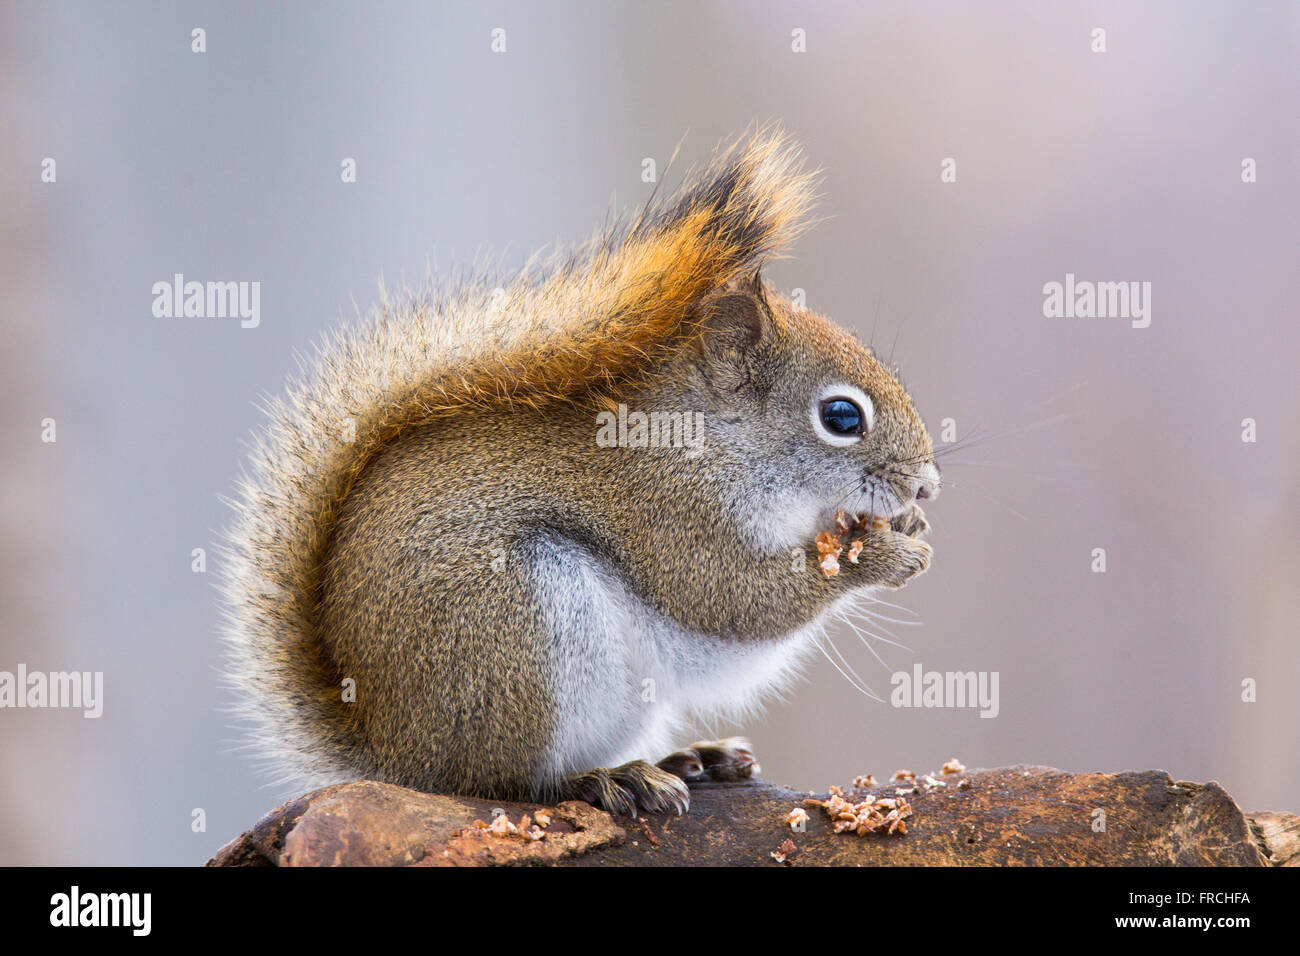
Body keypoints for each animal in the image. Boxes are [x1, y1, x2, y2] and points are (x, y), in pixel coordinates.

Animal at [221, 128, 940, 816]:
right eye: (842, 416)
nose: (928, 485)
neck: (714, 444)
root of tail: (395, 751)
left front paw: (908, 524)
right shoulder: (669, 511)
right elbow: (736, 599)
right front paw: (884, 556)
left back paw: (689, 759)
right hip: (514, 632)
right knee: (500, 780)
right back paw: (601, 779)